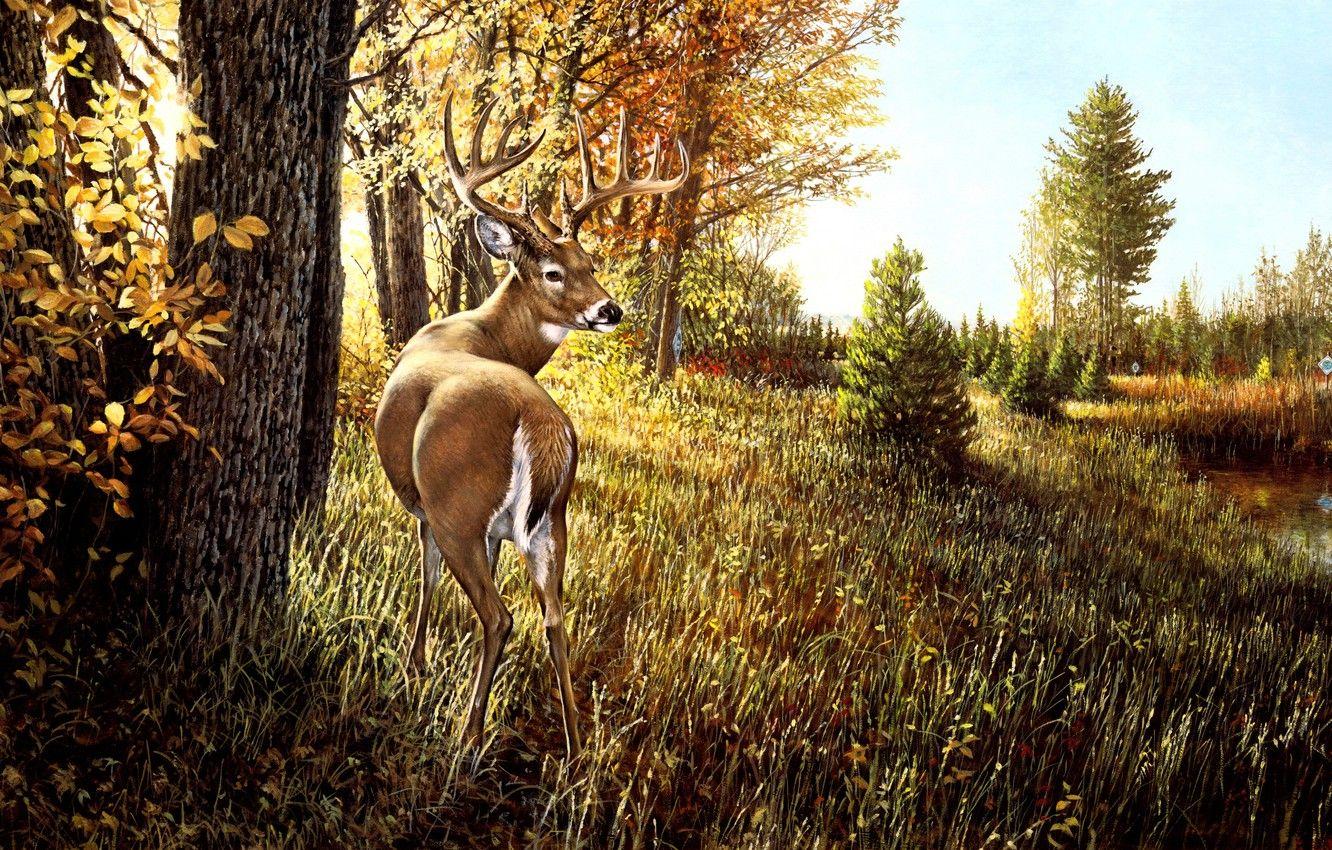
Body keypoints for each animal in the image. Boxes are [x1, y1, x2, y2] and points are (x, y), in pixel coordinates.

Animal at [373, 94, 688, 758]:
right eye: (555, 271)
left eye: (590, 261)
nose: (610, 308)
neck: (484, 333)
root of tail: (538, 424)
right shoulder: (494, 528)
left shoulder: (427, 509)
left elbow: (425, 578)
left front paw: (415, 665)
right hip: (554, 520)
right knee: (554, 617)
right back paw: (574, 746)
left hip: (457, 505)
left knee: (500, 614)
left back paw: (468, 737)